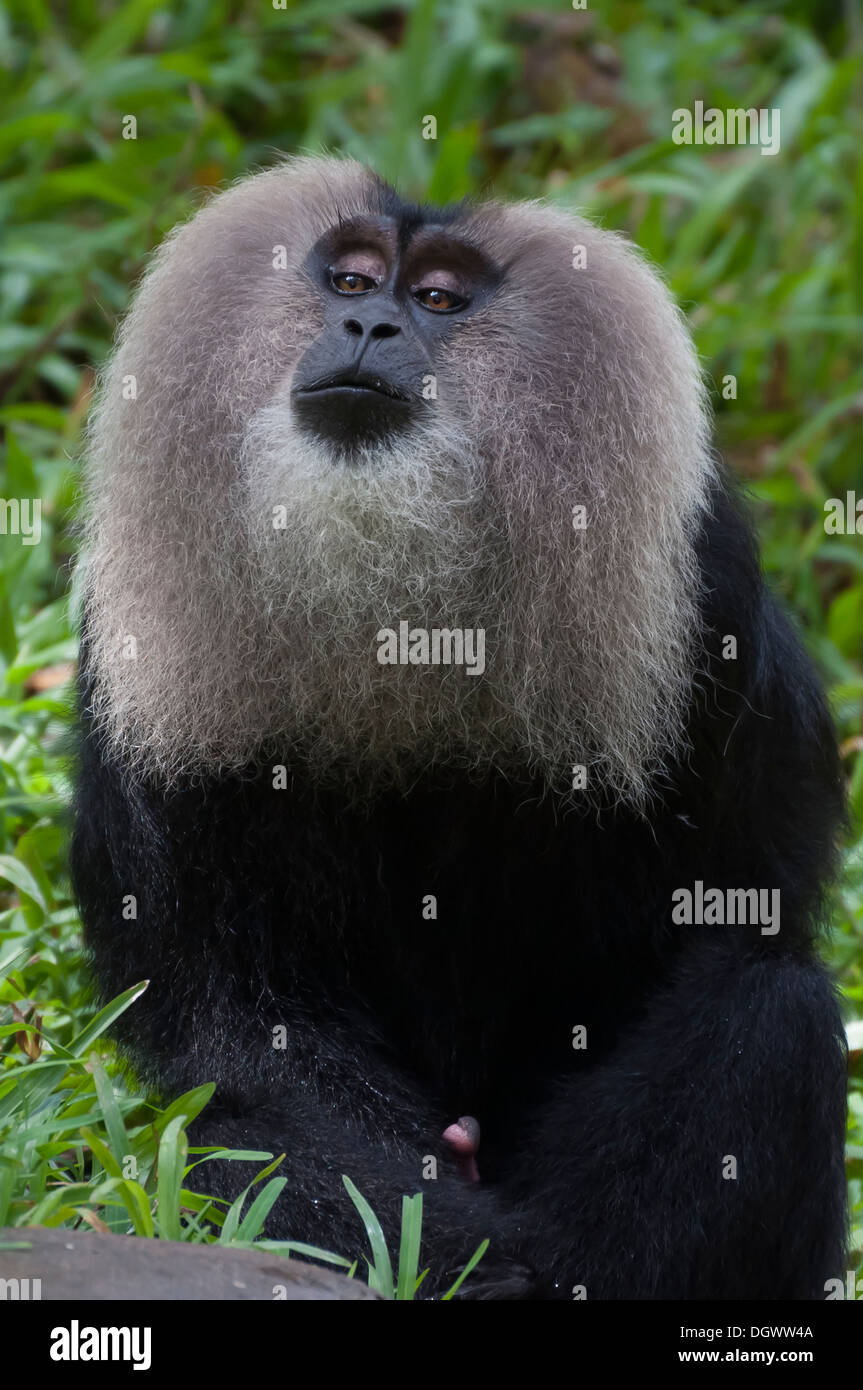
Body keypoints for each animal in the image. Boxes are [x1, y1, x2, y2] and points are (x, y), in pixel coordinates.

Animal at [71, 155, 848, 1300]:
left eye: (437, 300)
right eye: (350, 281)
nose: (369, 328)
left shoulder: (715, 602)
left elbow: (741, 928)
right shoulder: (141, 660)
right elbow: (237, 1043)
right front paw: (446, 1247)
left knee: (772, 1007)